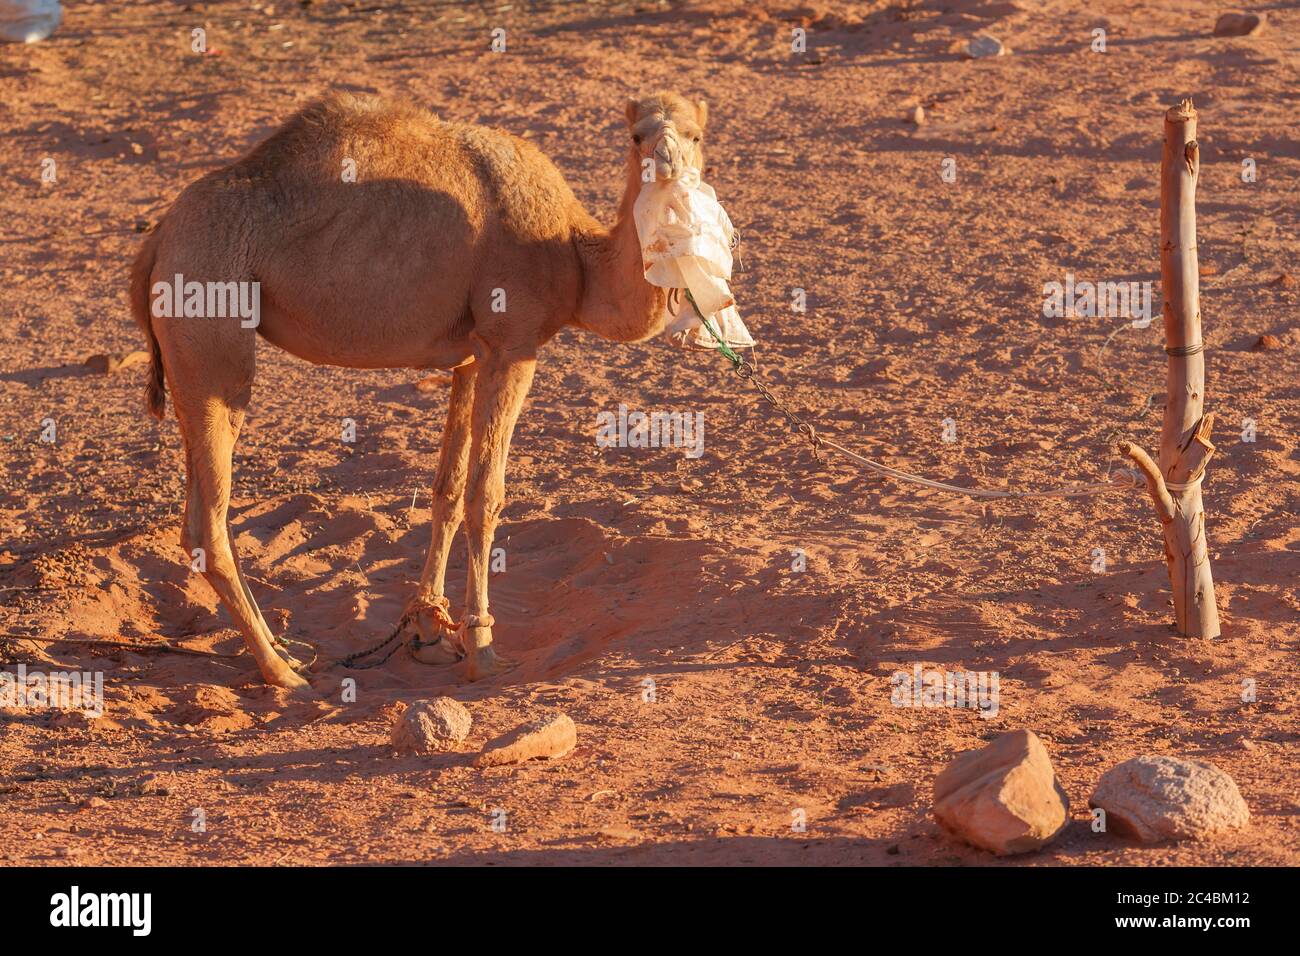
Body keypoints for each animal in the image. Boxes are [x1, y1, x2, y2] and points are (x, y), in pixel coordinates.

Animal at [130, 91, 709, 691]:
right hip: (210, 321)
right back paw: (280, 669)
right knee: (208, 522)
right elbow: (486, 495)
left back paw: (285, 651)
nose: (669, 166)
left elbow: (448, 491)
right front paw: (483, 651)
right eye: (638, 137)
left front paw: (429, 630)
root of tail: (157, 240)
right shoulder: (514, 342)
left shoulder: (474, 353)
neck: (574, 254)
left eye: (695, 136)